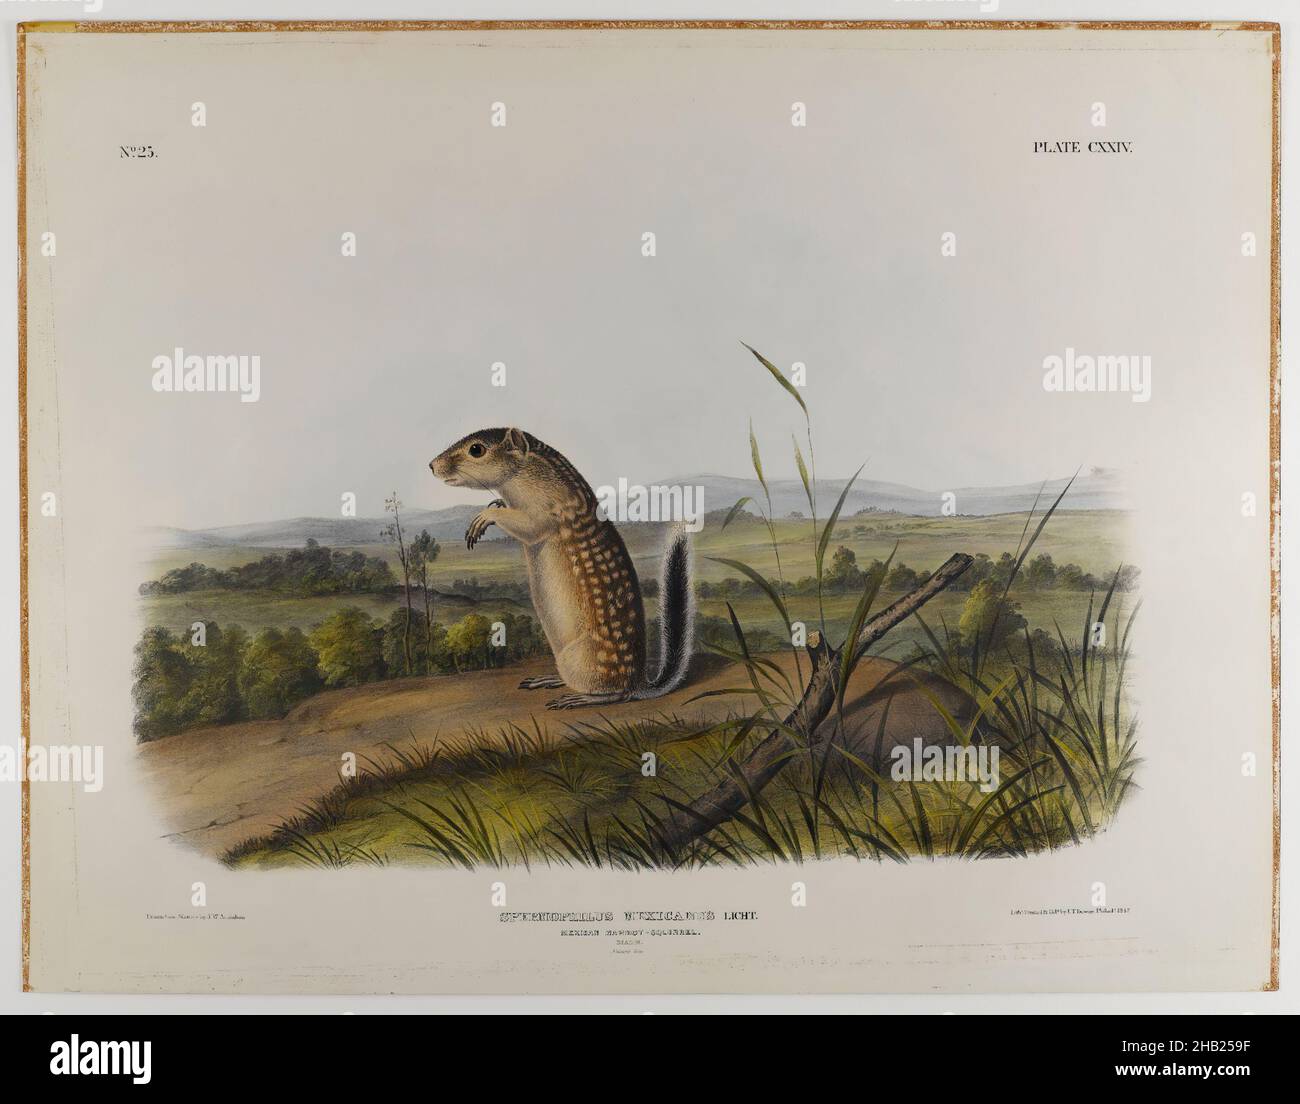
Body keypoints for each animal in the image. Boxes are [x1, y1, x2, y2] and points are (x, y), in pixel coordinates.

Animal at [430, 427, 694, 709]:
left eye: (476, 449)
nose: (431, 465)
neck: (530, 470)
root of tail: (639, 683)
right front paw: (497, 503)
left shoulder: (545, 511)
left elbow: (528, 525)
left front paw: (485, 517)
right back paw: (548, 680)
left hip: (579, 662)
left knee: (616, 694)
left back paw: (579, 698)